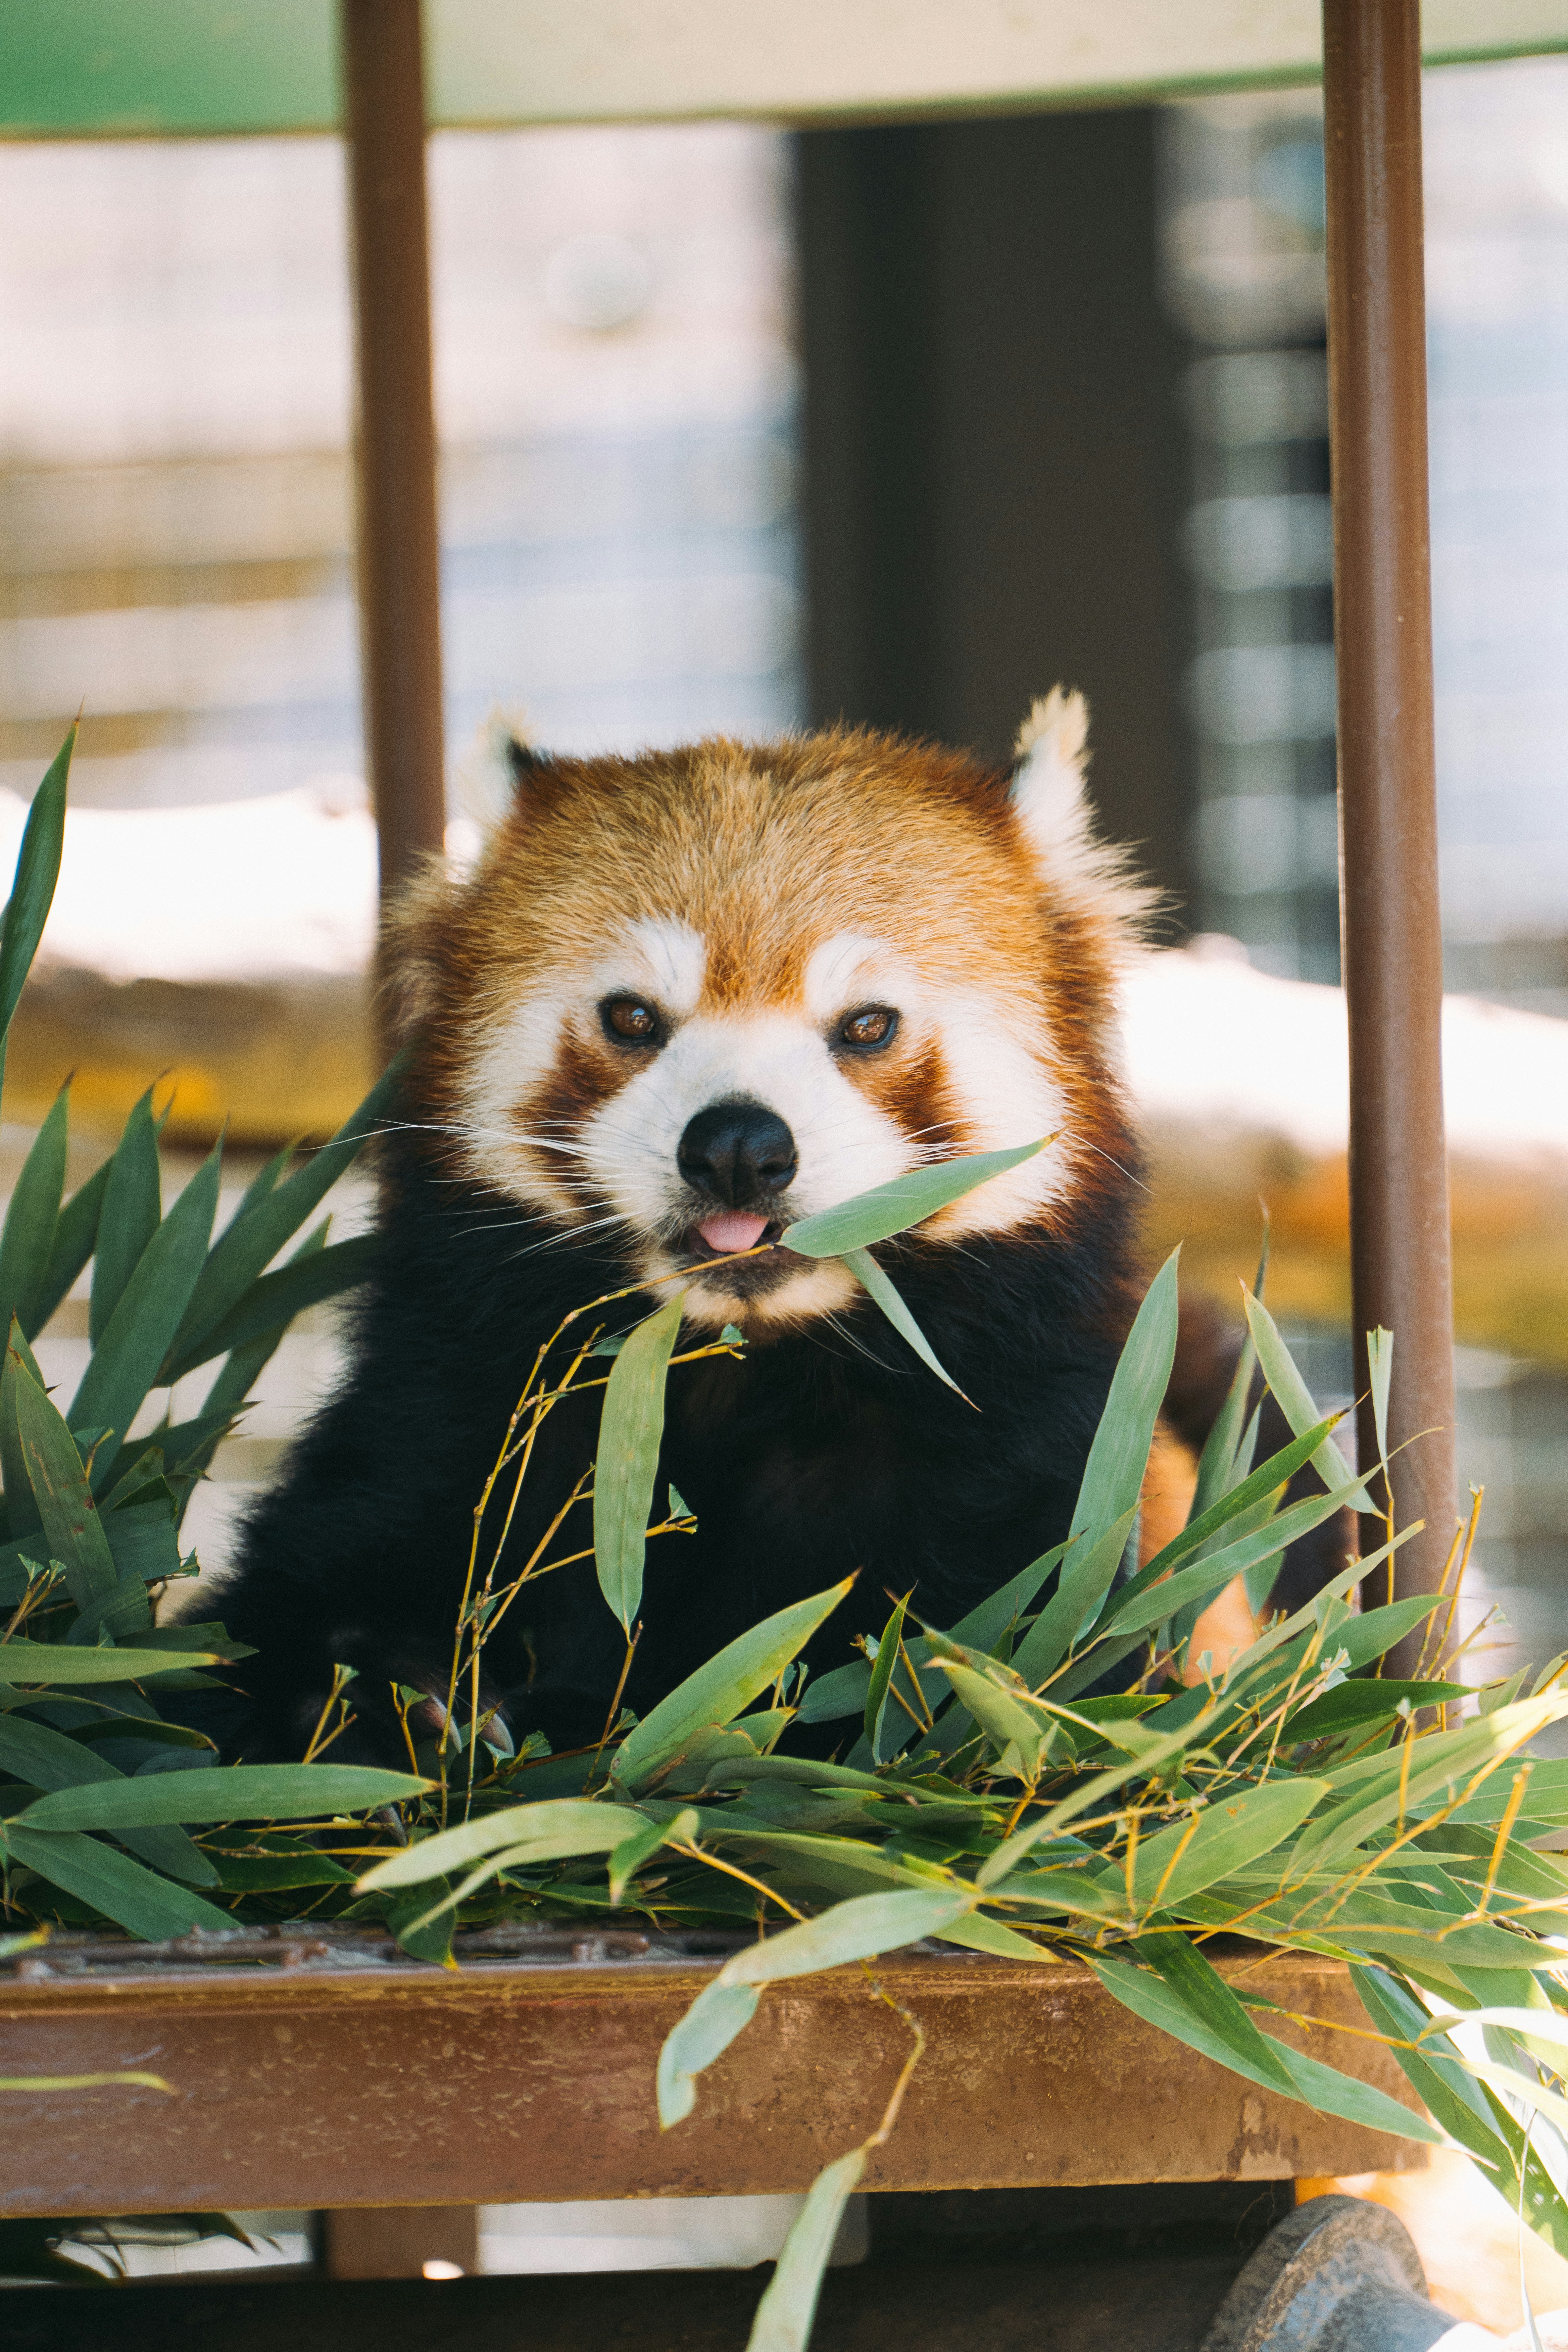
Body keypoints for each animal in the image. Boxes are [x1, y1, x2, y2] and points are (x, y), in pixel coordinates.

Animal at [208, 691, 1313, 1764]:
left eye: (866, 1025)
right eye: (633, 1018)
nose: (738, 1146)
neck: (735, 1367)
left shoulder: (1045, 1457)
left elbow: (989, 1676)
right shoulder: (459, 1400)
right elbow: (274, 1615)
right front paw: (394, 1694)